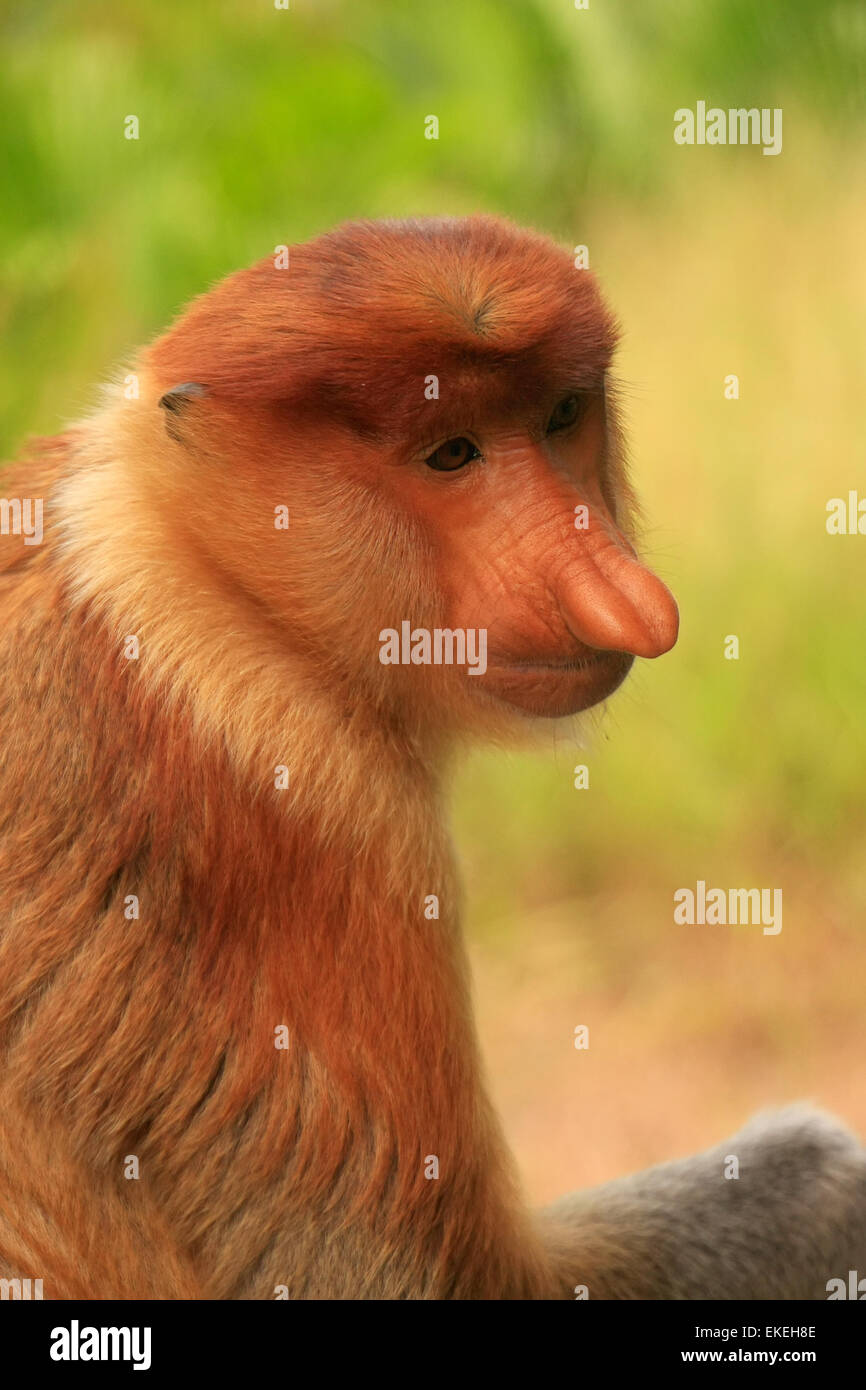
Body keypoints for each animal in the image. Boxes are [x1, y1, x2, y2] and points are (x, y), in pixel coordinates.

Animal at [0, 214, 863, 1300]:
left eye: (561, 416)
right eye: (451, 453)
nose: (626, 597)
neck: (200, 568)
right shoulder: (316, 796)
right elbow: (399, 1275)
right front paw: (830, 1176)